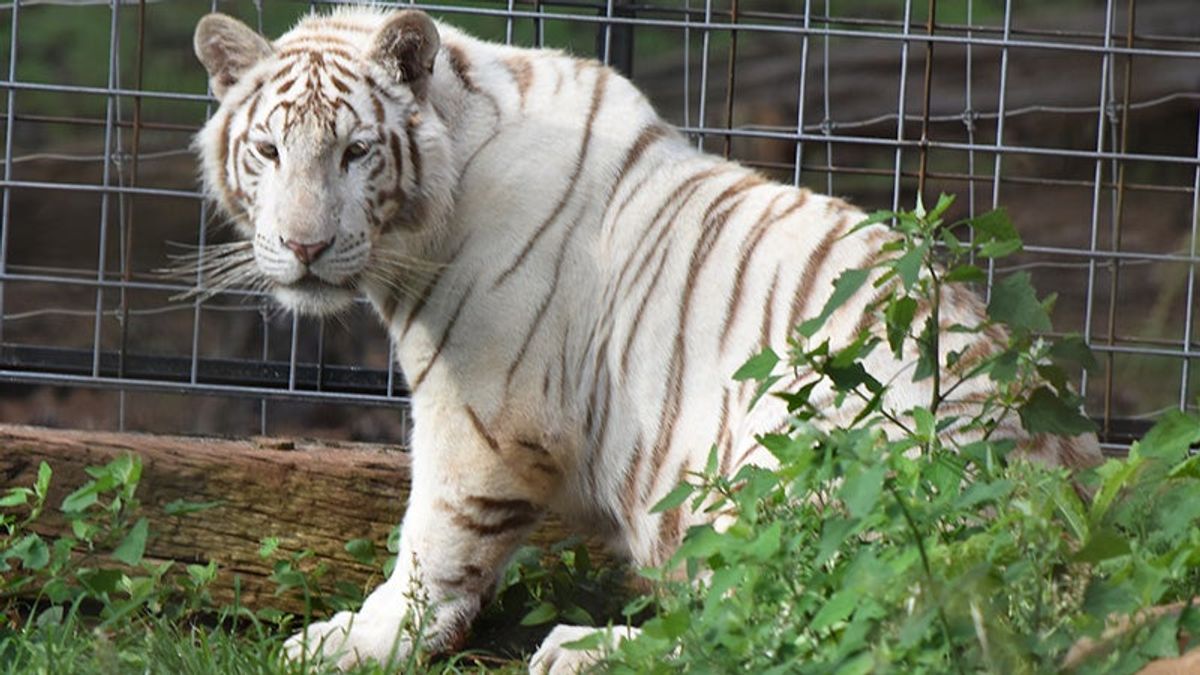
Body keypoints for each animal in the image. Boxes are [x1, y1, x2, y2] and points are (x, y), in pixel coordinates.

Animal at [191, 7, 1102, 674]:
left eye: (356, 151)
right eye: (268, 149)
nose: (305, 245)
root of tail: (1053, 536)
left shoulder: (482, 411)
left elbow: (434, 542)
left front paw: (356, 640)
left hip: (796, 467)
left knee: (797, 624)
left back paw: (581, 649)